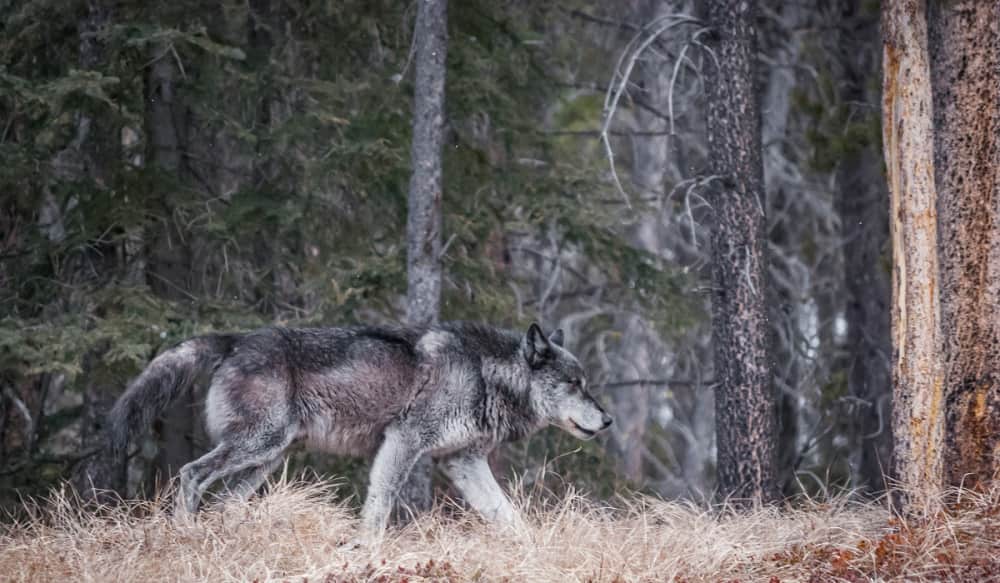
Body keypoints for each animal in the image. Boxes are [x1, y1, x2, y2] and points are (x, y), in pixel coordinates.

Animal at [107, 321, 612, 535]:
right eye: (576, 384)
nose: (607, 419)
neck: (483, 373)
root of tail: (234, 339)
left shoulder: (462, 462)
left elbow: (507, 516)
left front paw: (534, 552)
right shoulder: (403, 442)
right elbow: (380, 505)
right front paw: (366, 549)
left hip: (266, 459)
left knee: (224, 502)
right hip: (256, 447)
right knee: (190, 474)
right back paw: (185, 536)